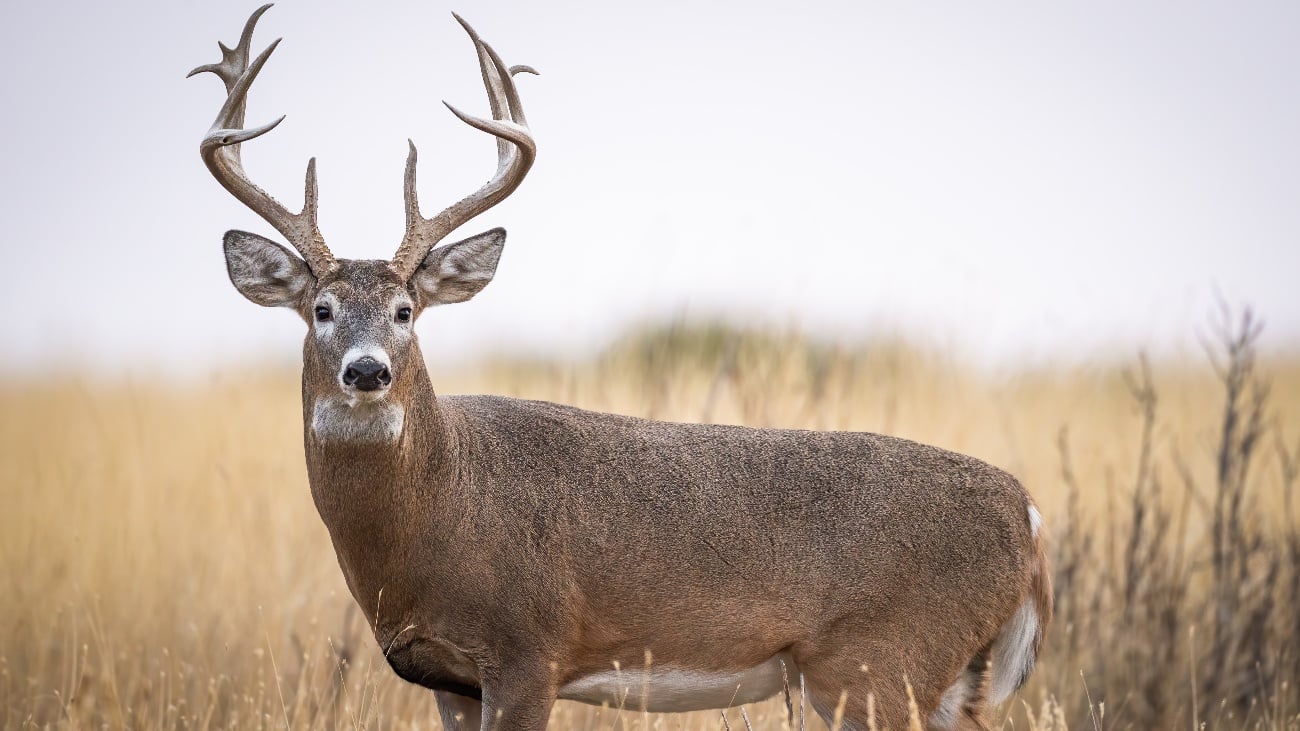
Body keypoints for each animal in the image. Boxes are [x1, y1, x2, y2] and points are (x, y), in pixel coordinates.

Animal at [191, 6, 1051, 730]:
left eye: (407, 311)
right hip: (932, 677)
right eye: (320, 309)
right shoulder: (447, 678)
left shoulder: (528, 649)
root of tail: (1031, 514)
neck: (438, 506)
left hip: (877, 662)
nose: (367, 372)